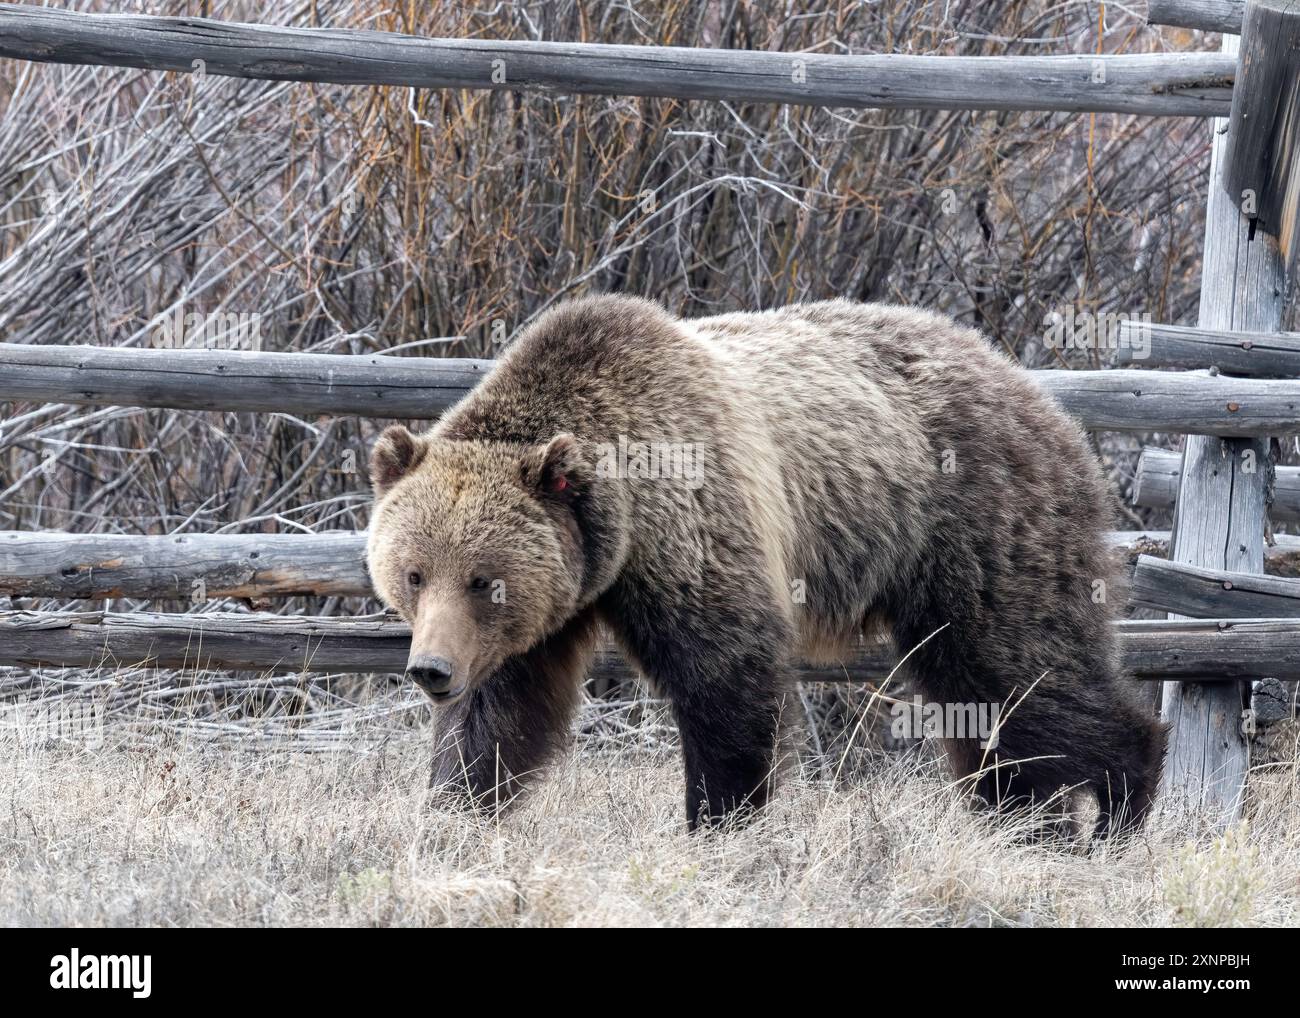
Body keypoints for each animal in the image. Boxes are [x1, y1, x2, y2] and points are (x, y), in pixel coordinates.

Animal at [366, 295, 1167, 836]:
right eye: (414, 574)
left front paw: (721, 821)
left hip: (975, 524)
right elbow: (498, 712)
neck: (618, 524)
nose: (430, 669)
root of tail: (1040, 395)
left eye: (484, 580)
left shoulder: (694, 520)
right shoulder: (550, 604)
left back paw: (1119, 802)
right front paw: (455, 812)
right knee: (984, 700)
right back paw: (1023, 820)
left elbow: (726, 675)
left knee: (1021, 666)